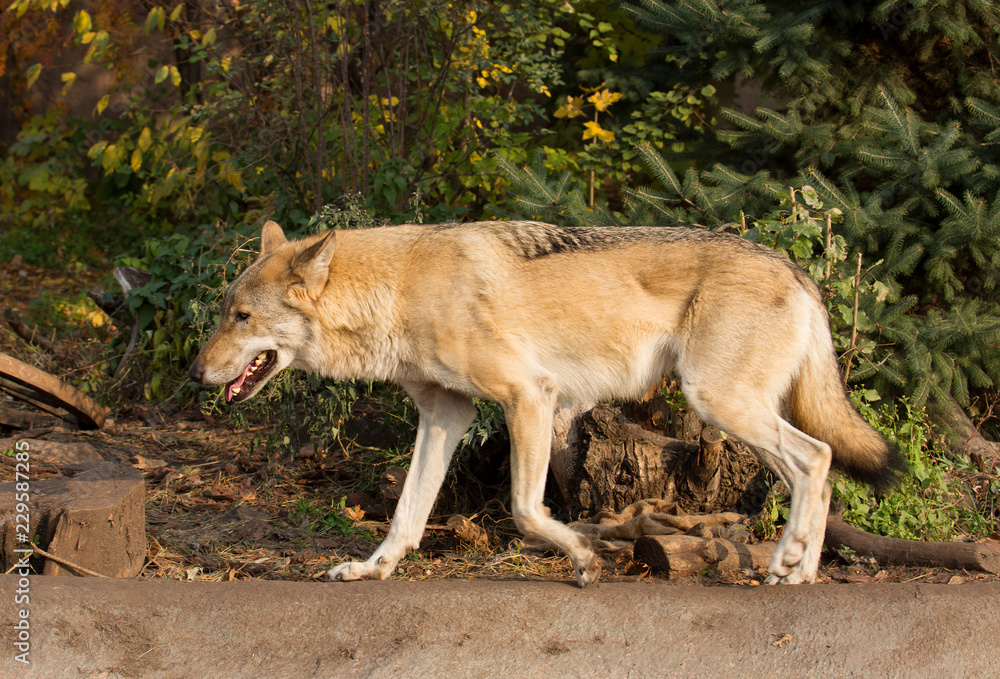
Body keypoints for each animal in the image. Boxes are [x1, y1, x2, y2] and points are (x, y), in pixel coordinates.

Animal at [189, 219, 904, 586]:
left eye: (241, 316)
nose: (195, 373)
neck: (399, 288)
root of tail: (796, 269)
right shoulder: (445, 415)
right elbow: (406, 516)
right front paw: (373, 570)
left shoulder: (529, 397)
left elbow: (527, 510)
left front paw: (586, 559)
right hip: (734, 413)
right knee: (822, 467)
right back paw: (799, 571)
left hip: (720, 403)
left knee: (818, 458)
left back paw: (788, 566)